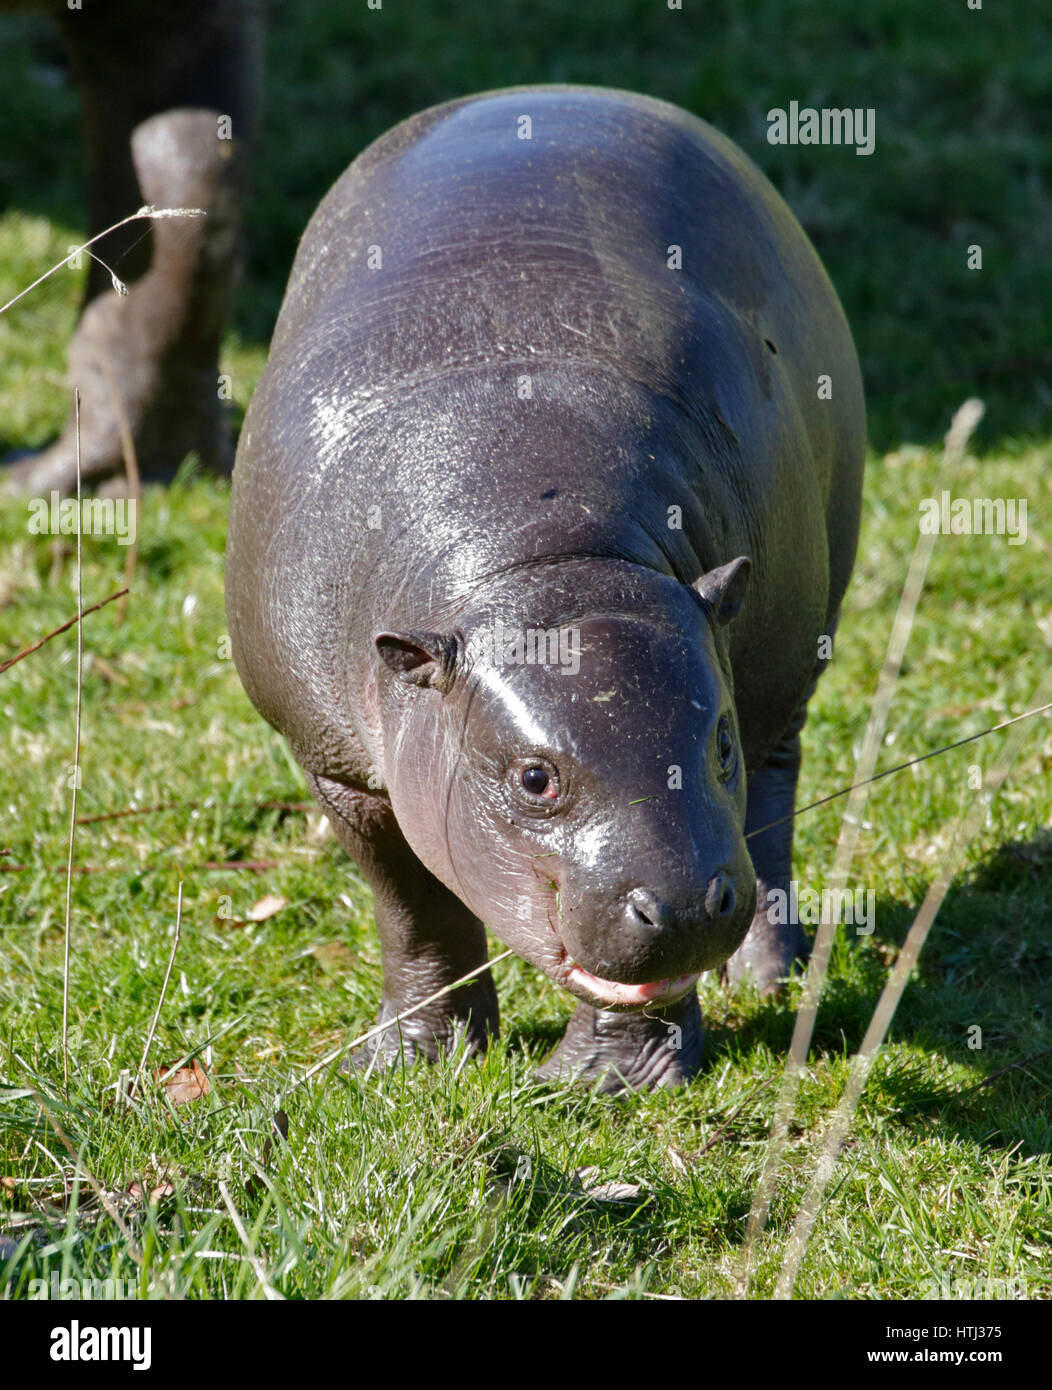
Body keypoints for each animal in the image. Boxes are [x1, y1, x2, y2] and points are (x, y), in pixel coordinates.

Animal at [225, 86, 865, 1092]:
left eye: (713, 739)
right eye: (534, 778)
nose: (688, 907)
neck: (543, 555)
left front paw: (605, 1083)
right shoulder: (332, 764)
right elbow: (414, 910)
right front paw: (411, 1064)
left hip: (796, 655)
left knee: (775, 794)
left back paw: (767, 978)